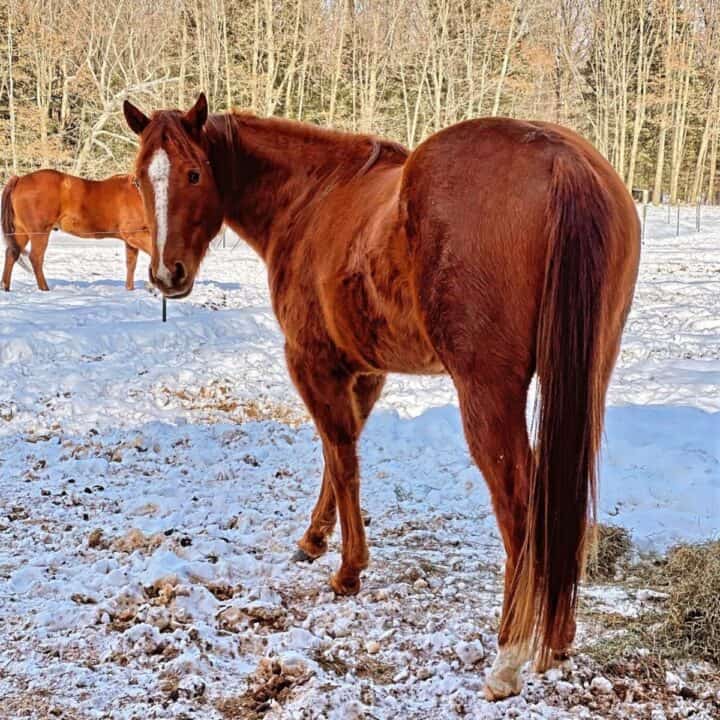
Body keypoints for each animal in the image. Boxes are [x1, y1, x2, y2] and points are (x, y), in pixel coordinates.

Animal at [1, 170, 151, 291]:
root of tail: (19, 180)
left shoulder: (131, 241)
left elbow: (131, 264)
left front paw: (130, 289)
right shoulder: (133, 234)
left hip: (22, 232)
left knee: (12, 254)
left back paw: (5, 287)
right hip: (40, 233)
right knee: (35, 258)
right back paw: (44, 289)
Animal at [123, 93, 640, 699]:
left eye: (194, 173)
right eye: (139, 178)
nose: (166, 274)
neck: (313, 197)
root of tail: (561, 160)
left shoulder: (311, 362)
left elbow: (341, 456)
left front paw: (347, 570)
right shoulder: (364, 372)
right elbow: (337, 454)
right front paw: (315, 540)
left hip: (489, 395)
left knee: (520, 507)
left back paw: (508, 656)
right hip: (586, 381)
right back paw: (556, 638)